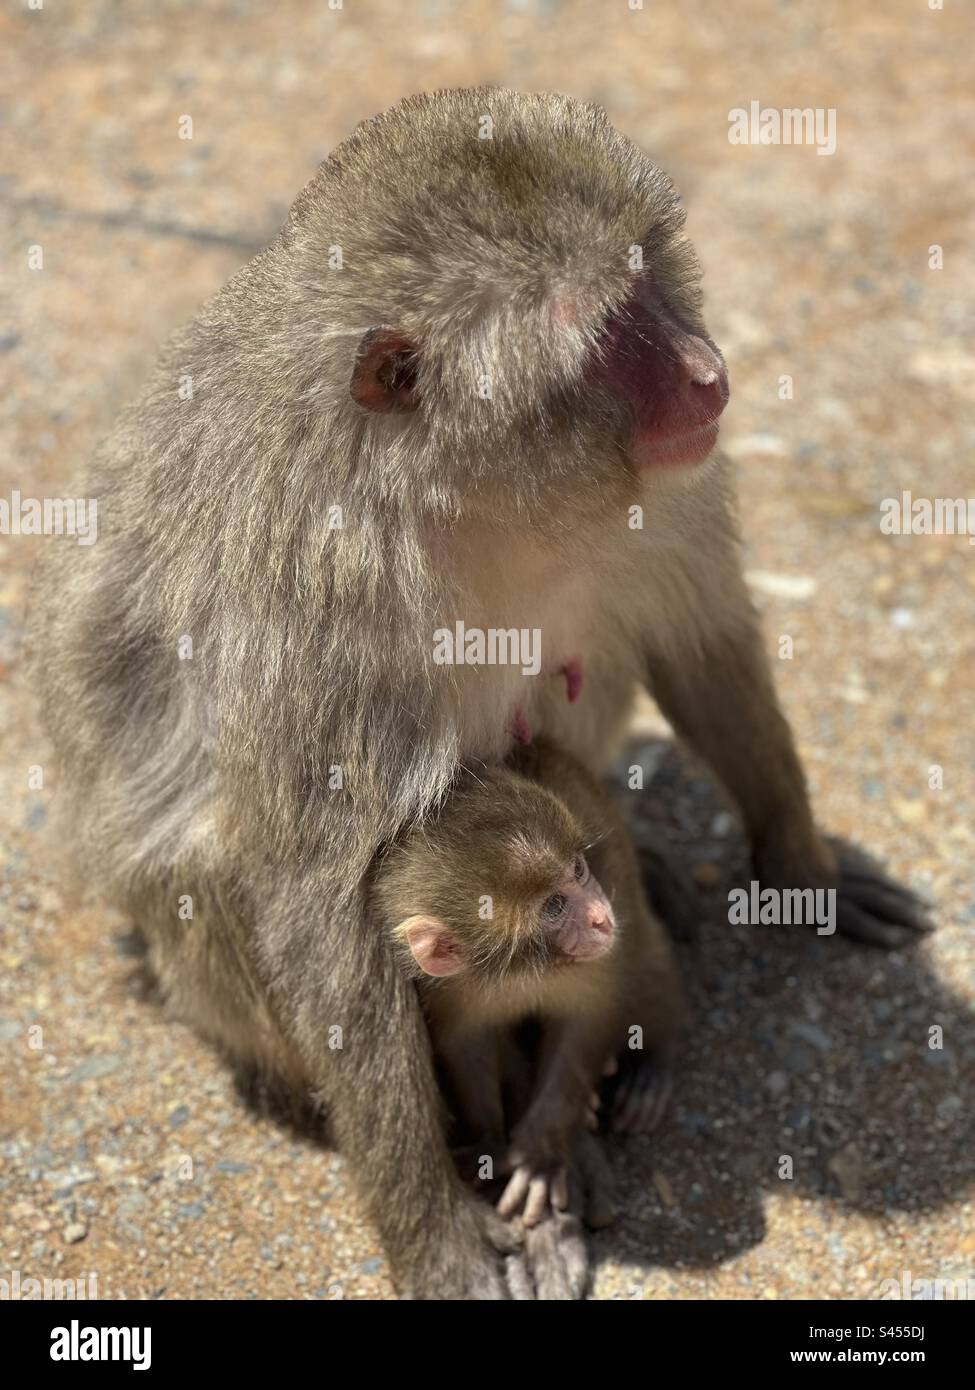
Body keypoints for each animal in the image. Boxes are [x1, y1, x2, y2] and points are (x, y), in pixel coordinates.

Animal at [373, 738, 683, 1229]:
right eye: (554, 906)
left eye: (579, 870)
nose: (599, 917)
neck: (516, 969)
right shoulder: (450, 988)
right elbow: (465, 1044)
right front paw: (487, 1140)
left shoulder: (591, 963)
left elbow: (585, 1024)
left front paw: (540, 1154)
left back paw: (652, 1065)